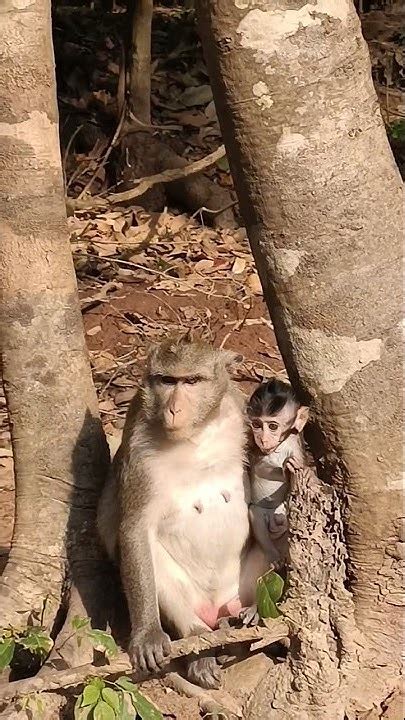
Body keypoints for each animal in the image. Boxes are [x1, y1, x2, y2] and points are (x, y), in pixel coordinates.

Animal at [97, 337, 269, 690]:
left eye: (191, 381)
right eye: (166, 380)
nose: (174, 409)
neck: (195, 435)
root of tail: (216, 609)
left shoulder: (240, 413)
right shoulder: (140, 451)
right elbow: (134, 530)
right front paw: (147, 633)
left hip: (240, 588)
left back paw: (252, 612)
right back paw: (198, 643)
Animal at [246, 378, 309, 566]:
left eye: (273, 426)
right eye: (257, 425)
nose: (263, 439)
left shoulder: (295, 446)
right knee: (256, 513)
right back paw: (273, 555)